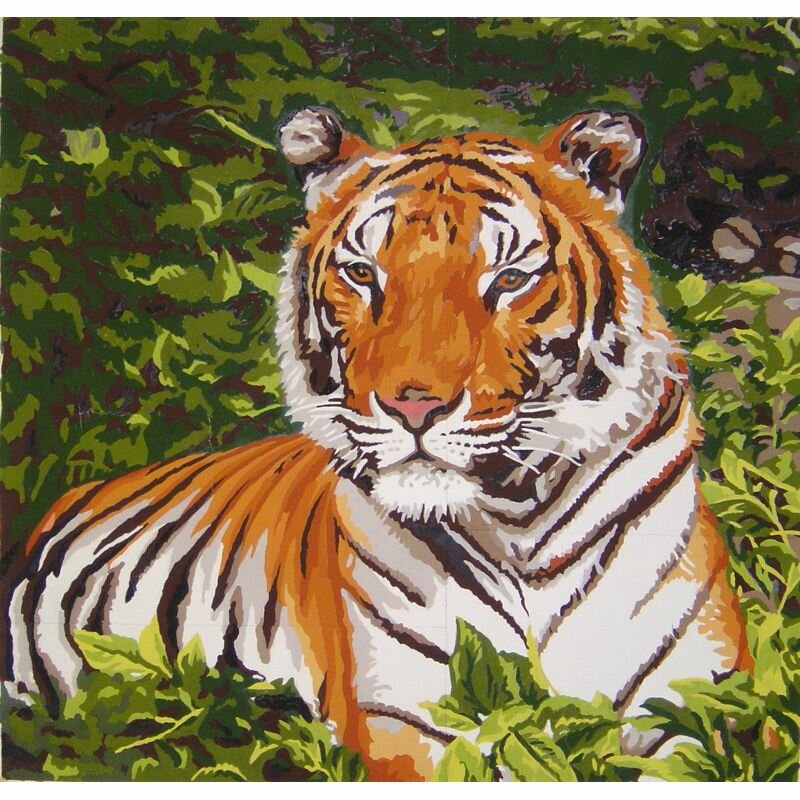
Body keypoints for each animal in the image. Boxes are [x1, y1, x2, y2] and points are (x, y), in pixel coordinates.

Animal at [4, 106, 752, 781]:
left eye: (509, 279)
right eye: (364, 275)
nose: (412, 405)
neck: (520, 521)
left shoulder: (706, 702)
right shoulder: (405, 719)